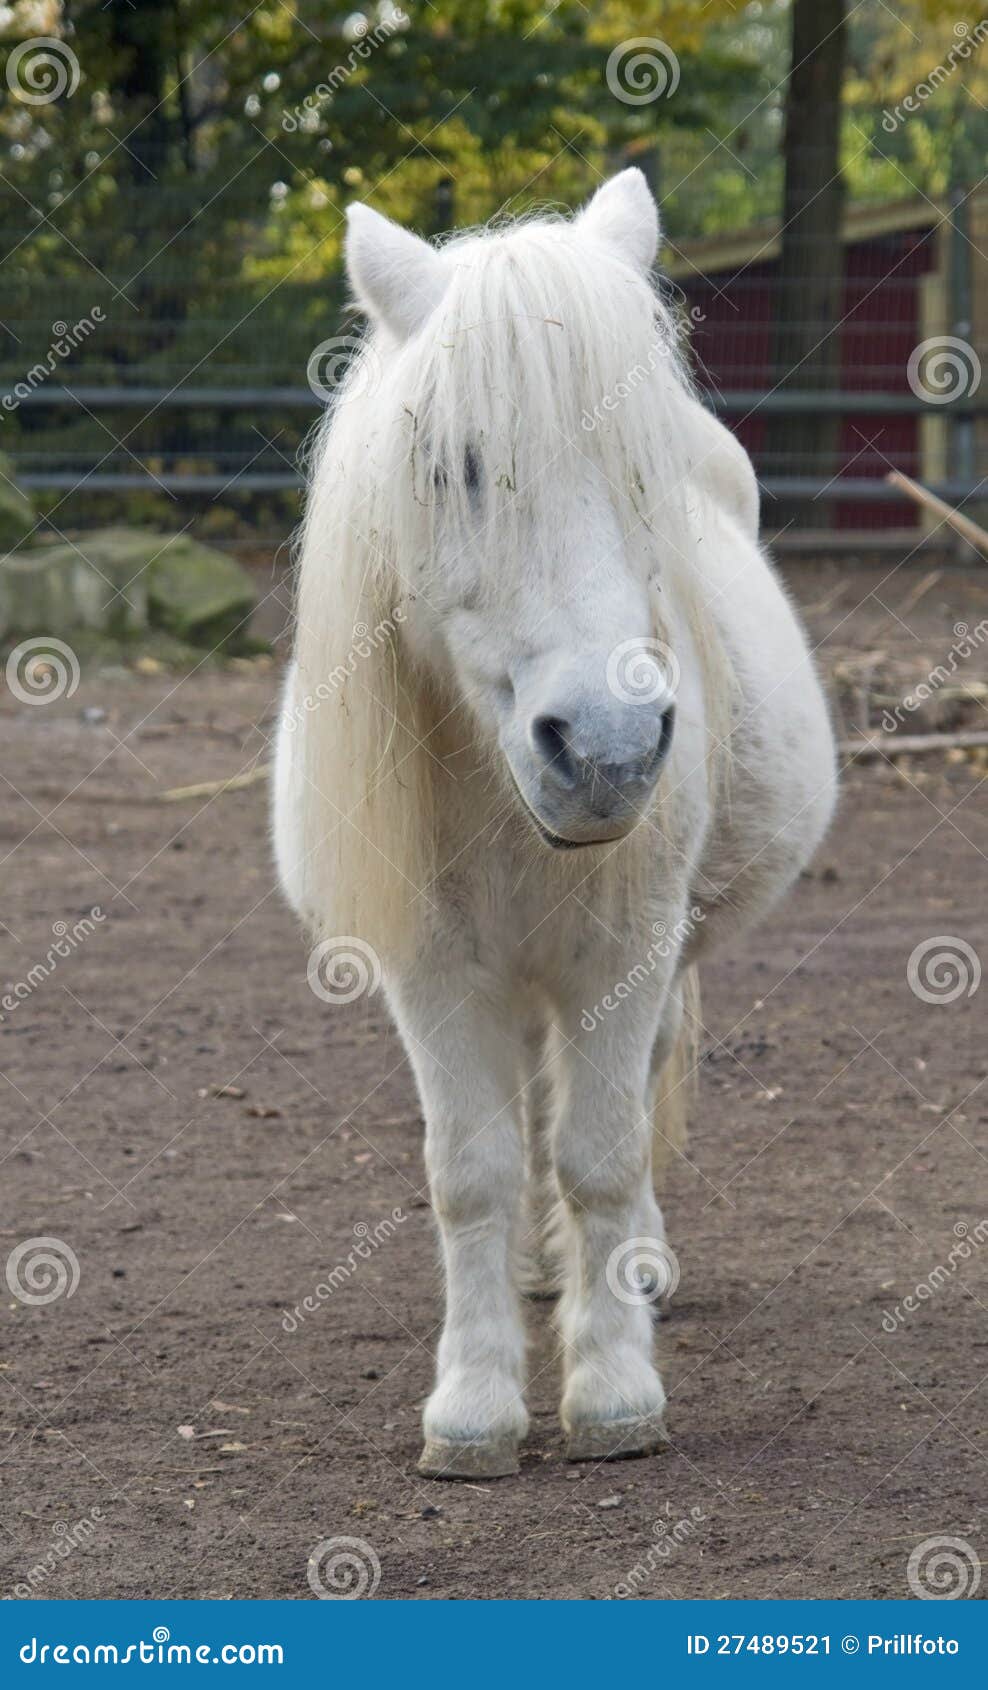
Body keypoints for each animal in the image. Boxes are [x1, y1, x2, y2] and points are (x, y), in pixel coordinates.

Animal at [273, 169, 836, 1480]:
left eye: (642, 471)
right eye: (455, 468)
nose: (609, 749)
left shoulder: (622, 955)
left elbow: (602, 1153)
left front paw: (615, 1388)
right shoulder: (431, 971)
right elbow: (471, 1174)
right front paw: (475, 1405)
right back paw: (541, 1271)